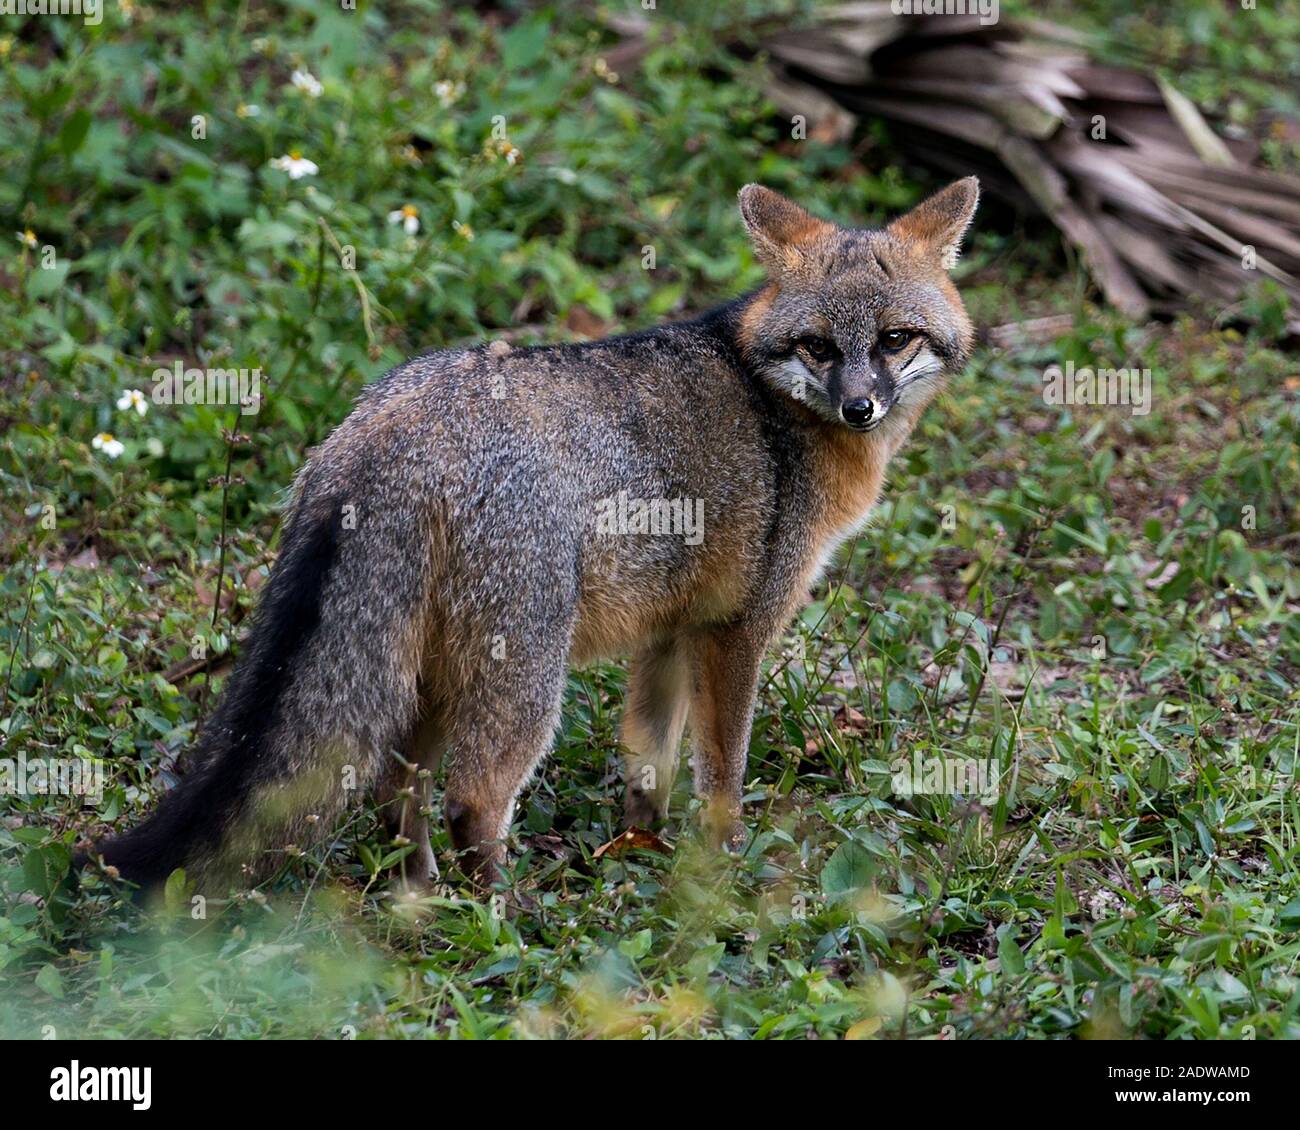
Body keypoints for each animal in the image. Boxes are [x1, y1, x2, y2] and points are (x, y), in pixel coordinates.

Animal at [83, 177, 980, 893]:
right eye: (819, 346)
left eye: (894, 338)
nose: (861, 406)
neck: (774, 405)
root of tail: (394, 424)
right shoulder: (738, 630)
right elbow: (721, 773)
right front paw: (721, 865)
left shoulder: (670, 629)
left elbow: (647, 762)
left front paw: (641, 848)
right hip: (524, 673)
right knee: (471, 799)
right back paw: (502, 912)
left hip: (429, 674)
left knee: (396, 791)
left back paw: (419, 898)